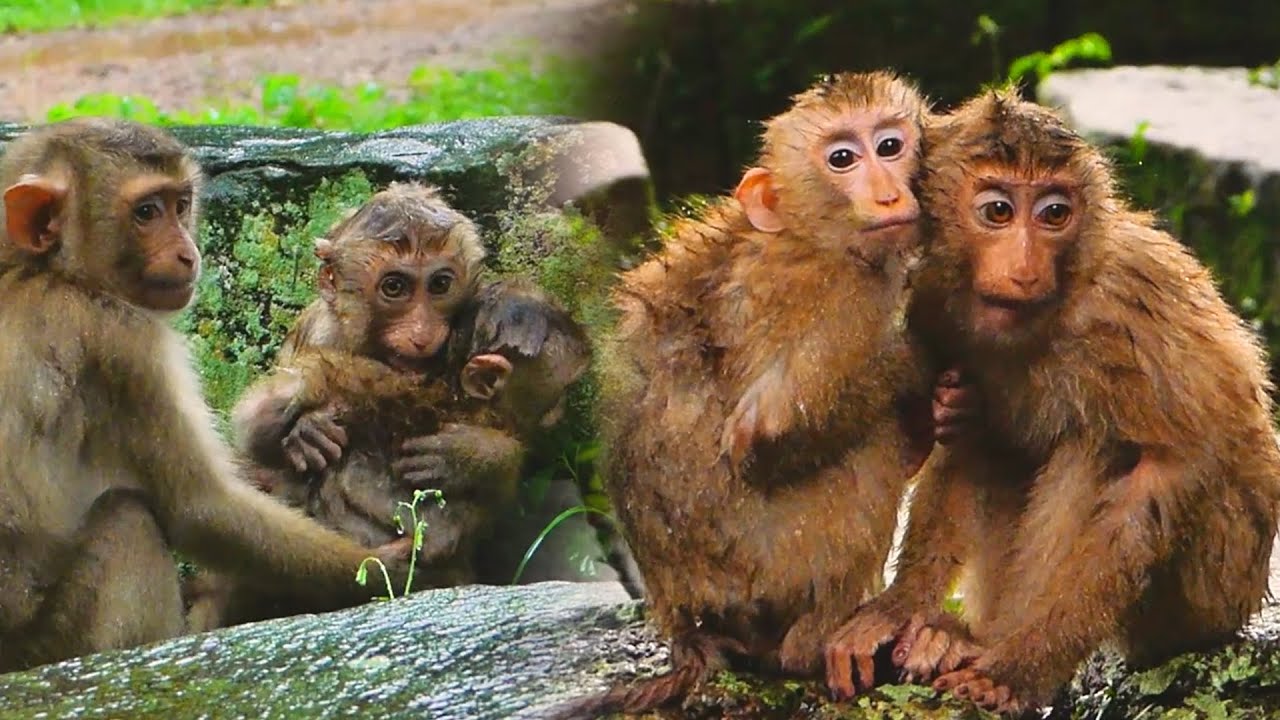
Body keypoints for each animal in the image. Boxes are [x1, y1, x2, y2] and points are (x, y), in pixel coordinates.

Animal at [0, 118, 413, 672]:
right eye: (147, 212)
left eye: (181, 205)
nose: (188, 253)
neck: (41, 268)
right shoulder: (123, 343)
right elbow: (202, 509)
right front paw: (383, 567)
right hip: (58, 640)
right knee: (129, 524)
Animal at [554, 71, 940, 718]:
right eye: (842, 158)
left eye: (891, 145)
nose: (889, 195)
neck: (800, 232)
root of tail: (685, 624)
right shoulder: (840, 296)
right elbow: (767, 431)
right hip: (775, 564)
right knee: (870, 445)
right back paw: (818, 643)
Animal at [823, 89, 1280, 716]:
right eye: (998, 211)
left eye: (1054, 214)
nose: (1024, 266)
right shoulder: (931, 295)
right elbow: (963, 427)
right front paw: (902, 608)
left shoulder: (1130, 298)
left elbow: (1169, 468)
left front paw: (1020, 669)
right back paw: (956, 637)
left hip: (1214, 586)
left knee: (1098, 445)